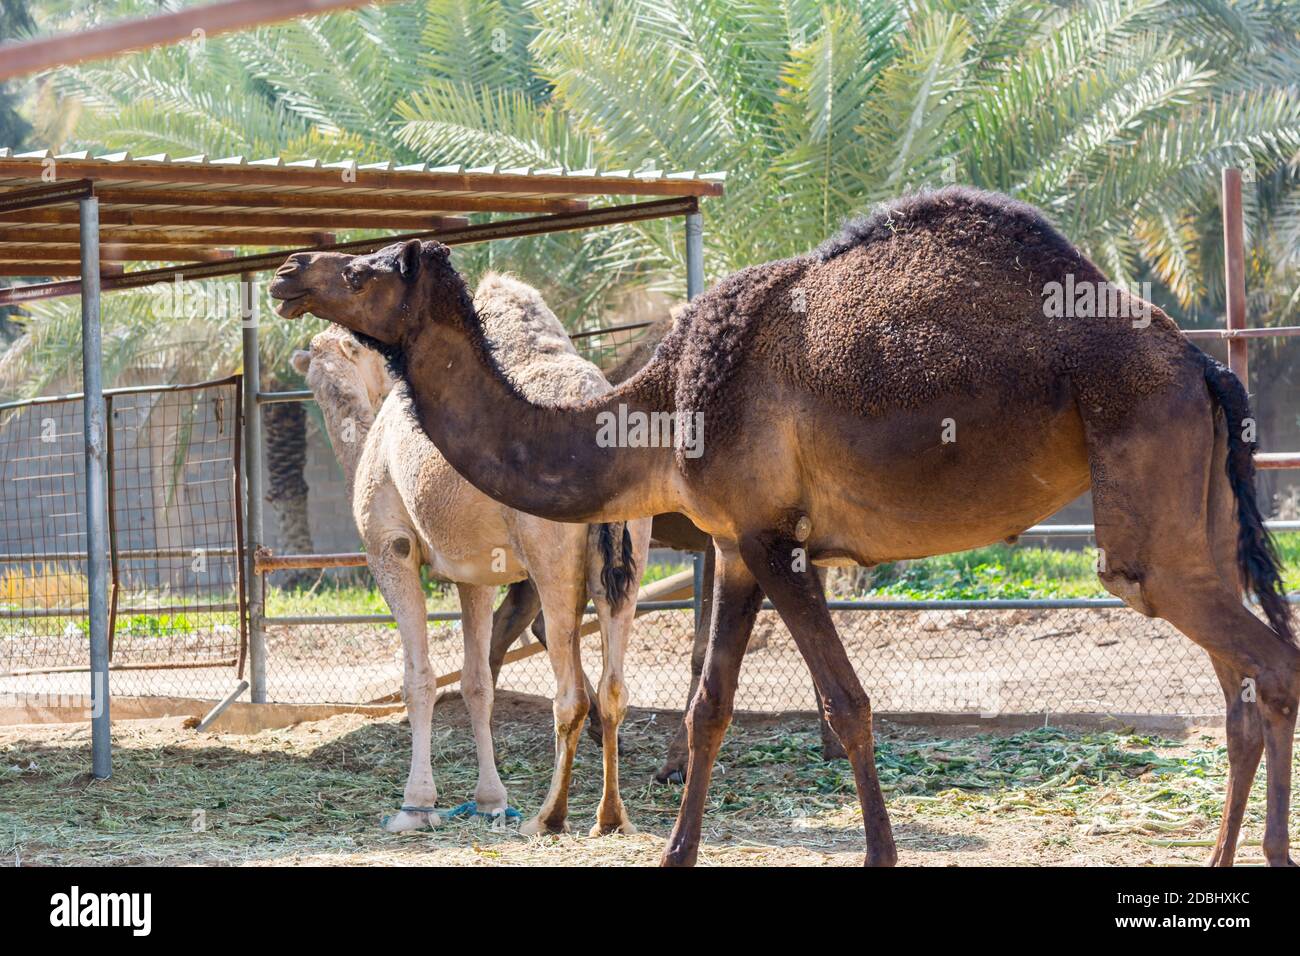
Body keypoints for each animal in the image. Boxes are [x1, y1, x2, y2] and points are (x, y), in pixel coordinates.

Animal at [289, 273, 651, 837]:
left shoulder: (391, 548)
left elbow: (419, 679)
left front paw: (415, 806)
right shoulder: (475, 572)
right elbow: (477, 681)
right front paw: (490, 801)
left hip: (551, 556)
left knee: (570, 691)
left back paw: (548, 818)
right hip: (626, 557)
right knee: (614, 687)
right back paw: (609, 818)